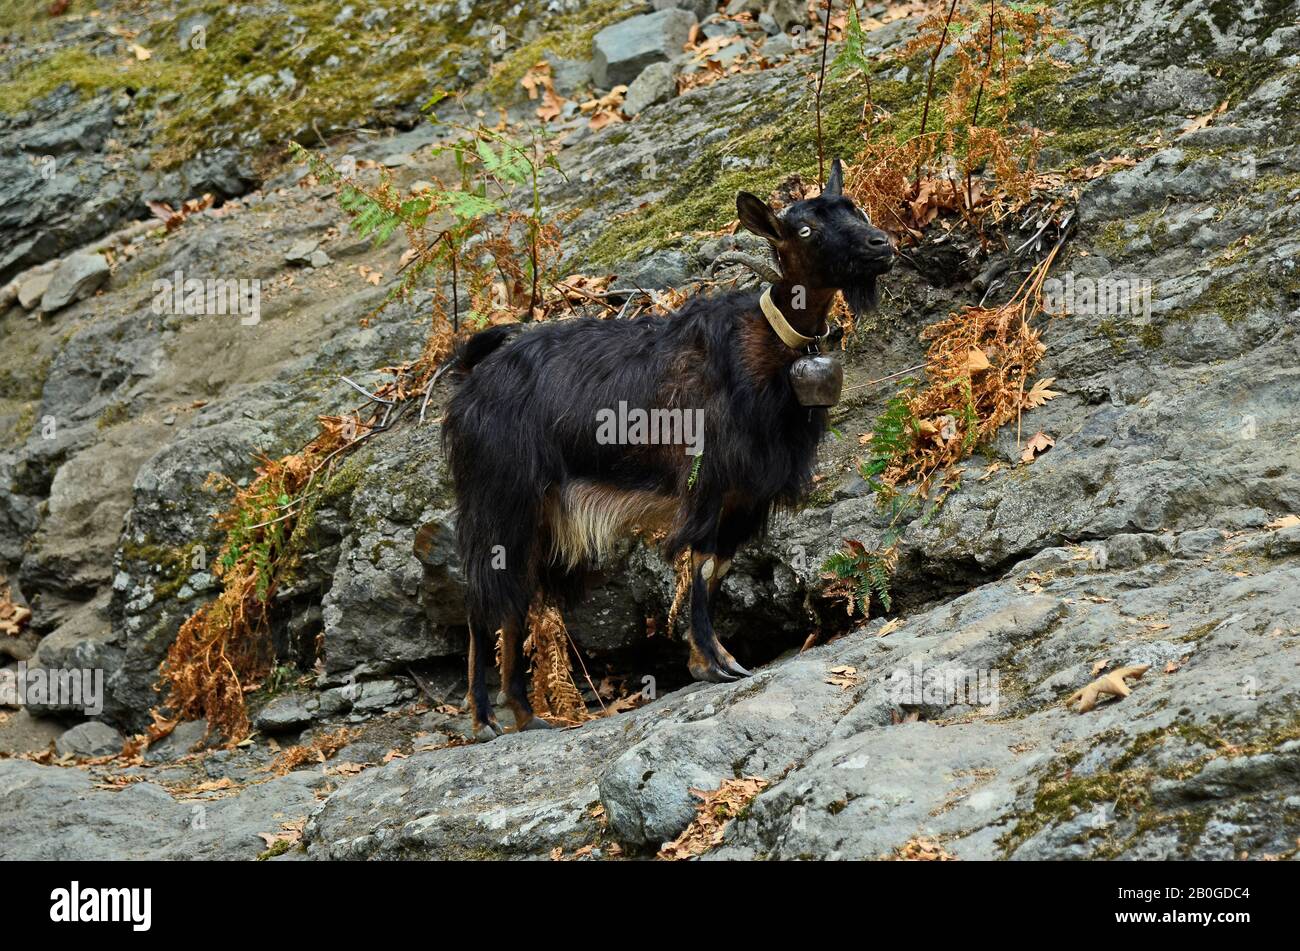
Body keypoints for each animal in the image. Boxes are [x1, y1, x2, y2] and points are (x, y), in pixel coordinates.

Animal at [442, 159, 893, 739]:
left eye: (852, 206)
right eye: (805, 230)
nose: (881, 244)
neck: (768, 346)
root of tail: (468, 379)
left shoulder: (746, 495)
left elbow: (718, 566)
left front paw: (710, 659)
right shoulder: (706, 480)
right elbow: (698, 562)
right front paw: (716, 663)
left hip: (540, 514)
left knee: (517, 599)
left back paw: (527, 716)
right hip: (499, 498)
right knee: (484, 600)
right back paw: (484, 719)